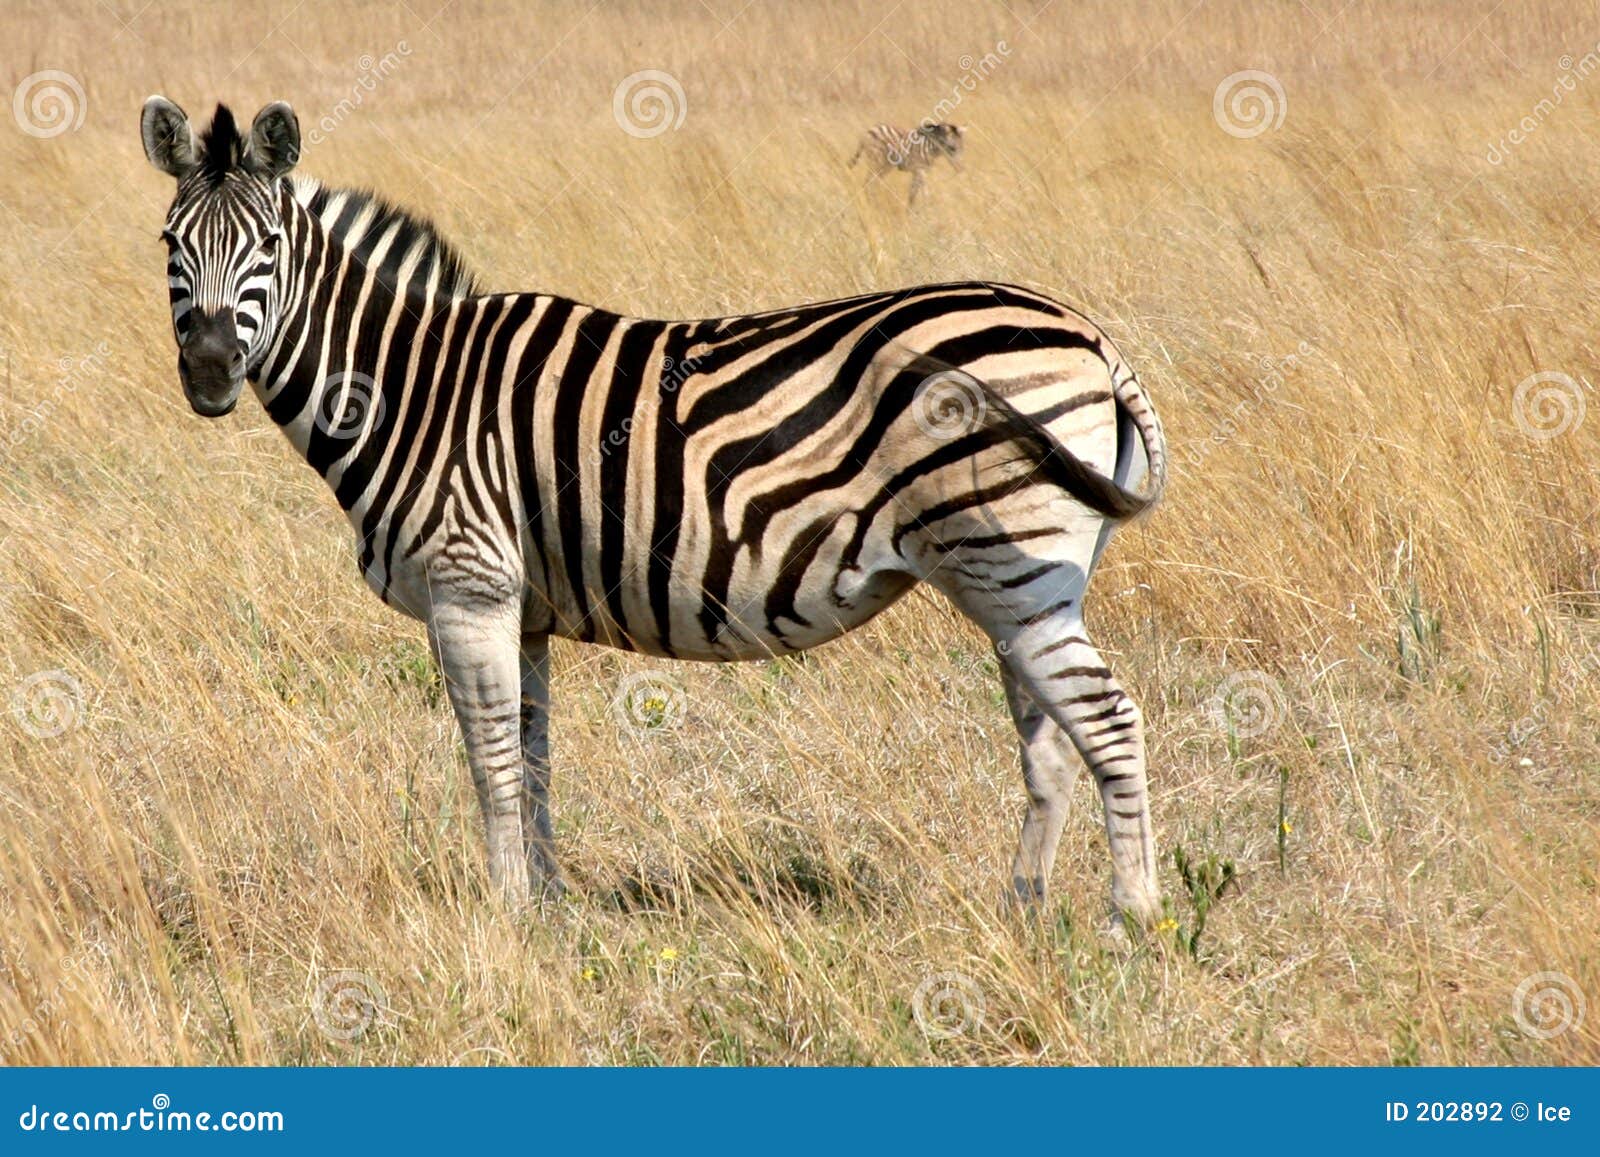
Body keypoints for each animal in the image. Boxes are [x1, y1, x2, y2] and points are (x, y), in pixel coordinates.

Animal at [140, 97, 1169, 928]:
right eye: (170, 247)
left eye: (269, 248)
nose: (210, 372)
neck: (410, 385)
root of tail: (1092, 337)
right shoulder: (522, 608)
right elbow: (533, 755)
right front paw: (548, 904)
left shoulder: (468, 584)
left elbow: (487, 757)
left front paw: (504, 915)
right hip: (1020, 577)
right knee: (1051, 743)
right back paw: (1022, 909)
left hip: (1014, 563)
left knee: (1108, 720)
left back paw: (1131, 916)